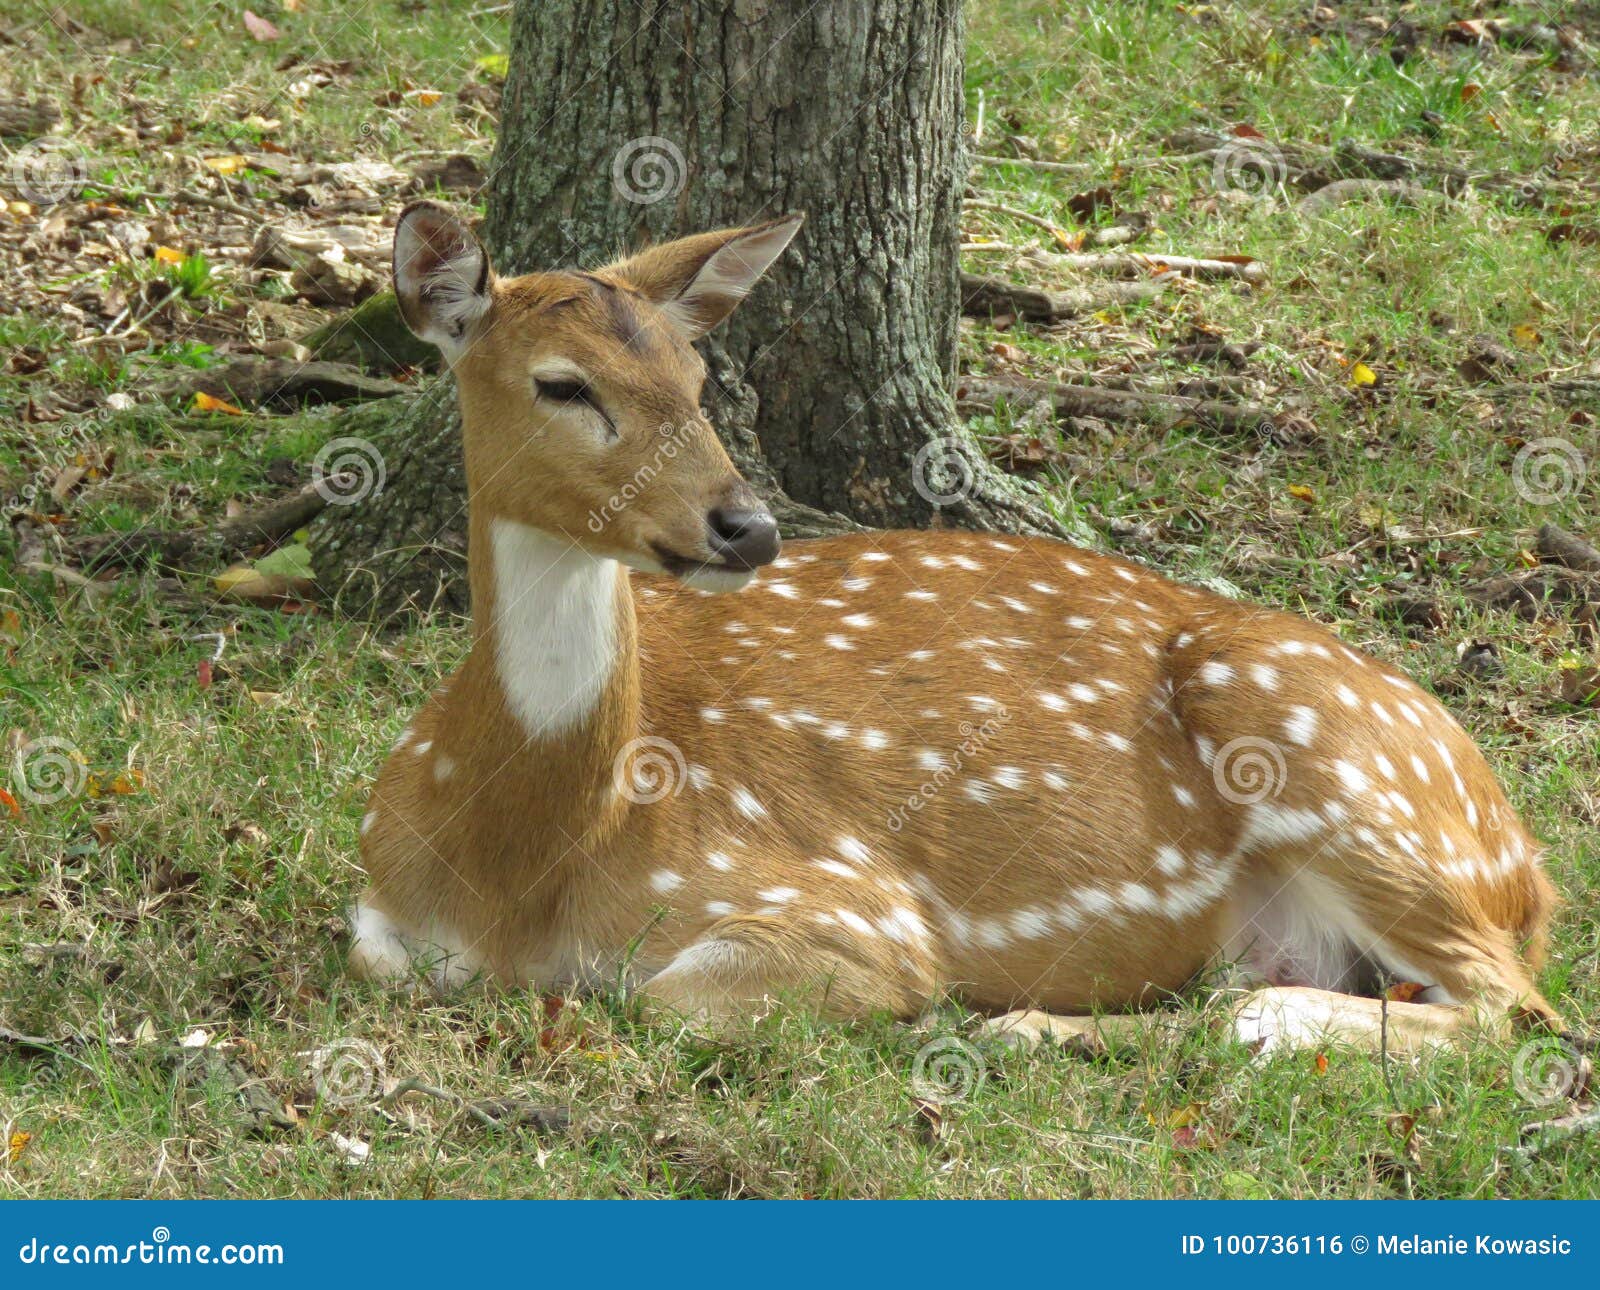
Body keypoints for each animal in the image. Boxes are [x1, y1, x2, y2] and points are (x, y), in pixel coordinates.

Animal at [351, 199, 1583, 1062]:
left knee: (1521, 1013)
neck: (525, 865)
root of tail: (1530, 870)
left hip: (1331, 750)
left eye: (700, 381)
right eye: (562, 384)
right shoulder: (374, 897)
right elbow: (384, 959)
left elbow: (663, 1002)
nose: (746, 525)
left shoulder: (850, 903)